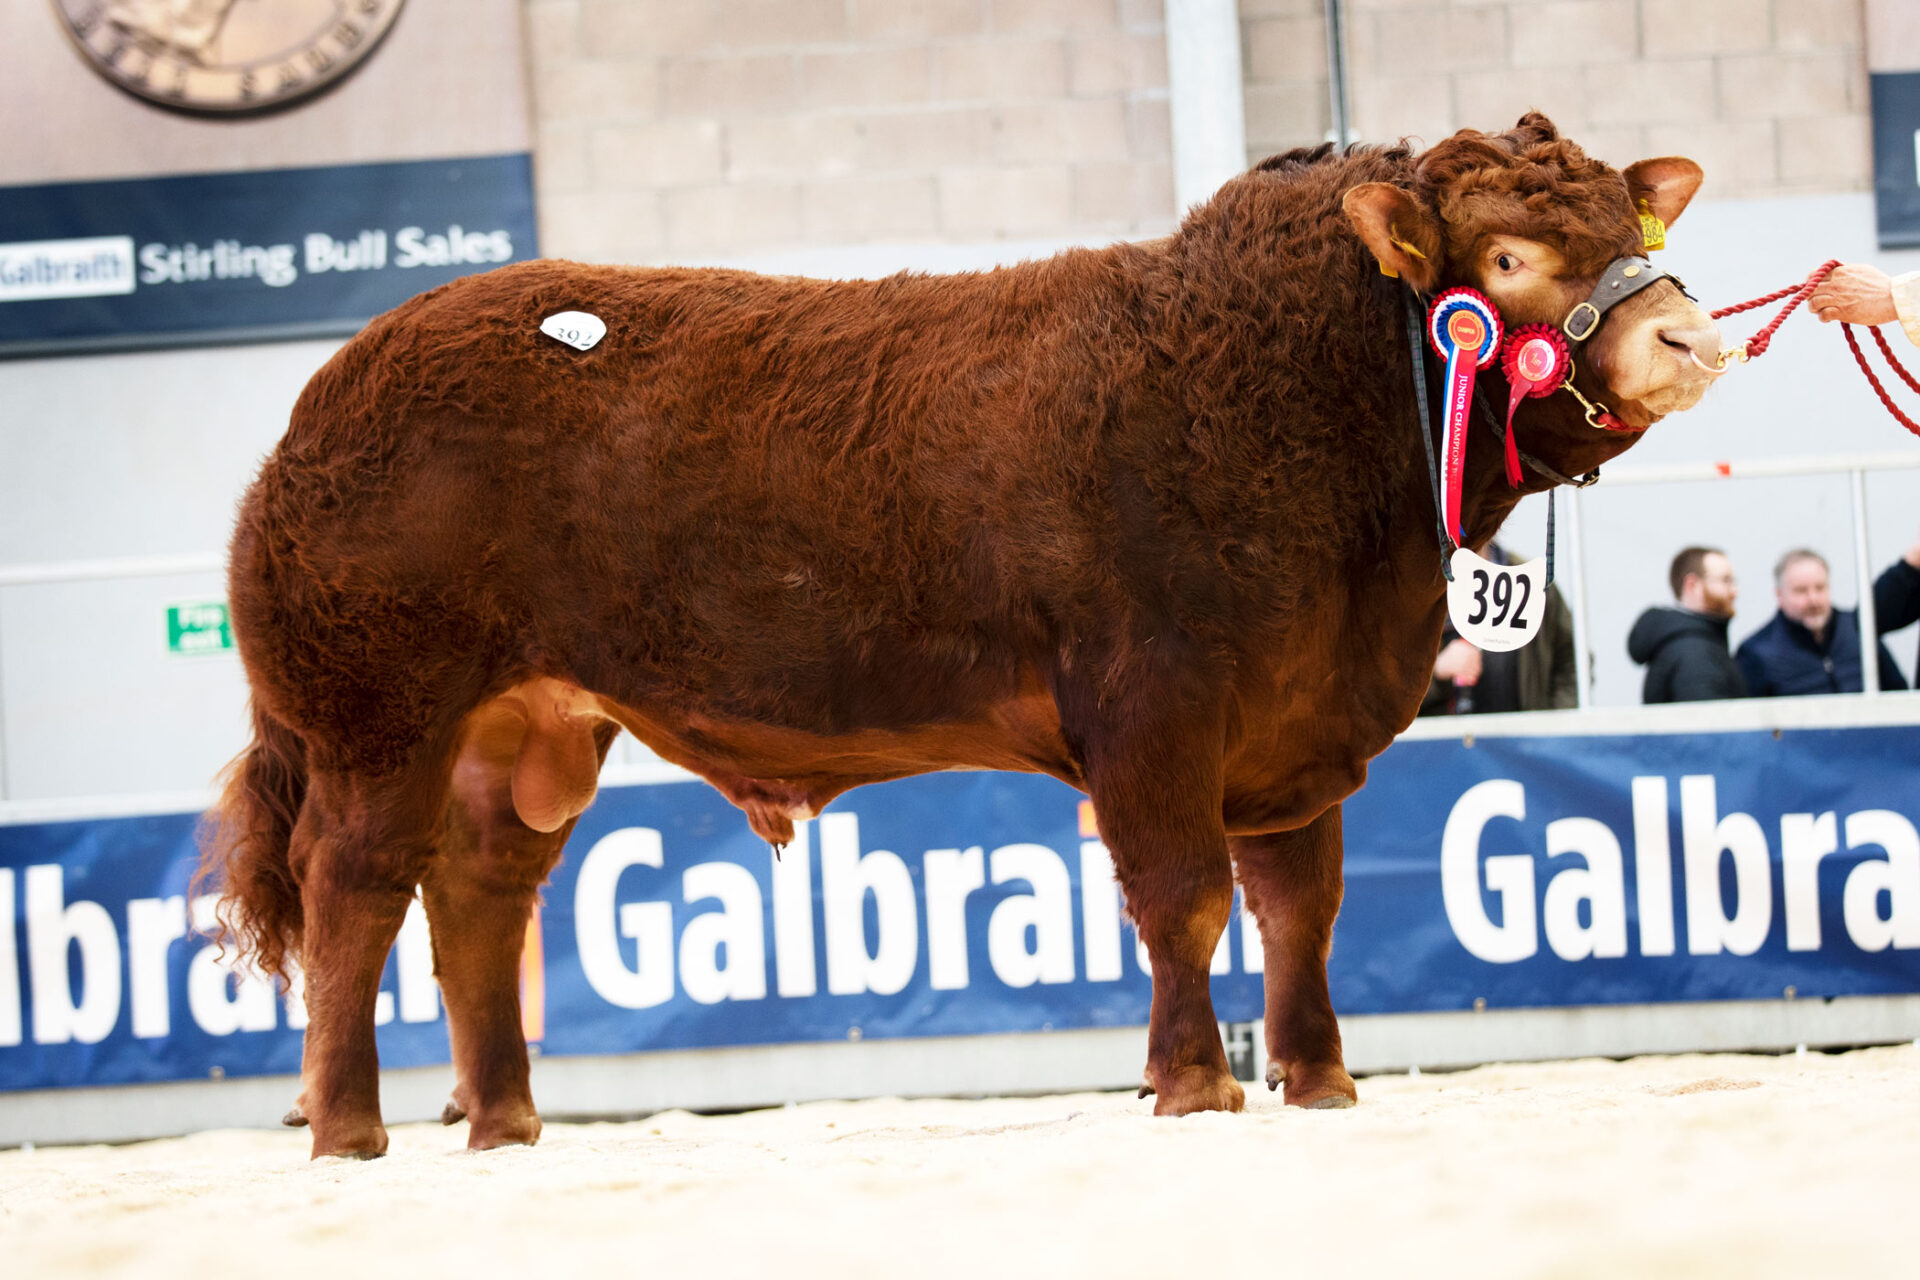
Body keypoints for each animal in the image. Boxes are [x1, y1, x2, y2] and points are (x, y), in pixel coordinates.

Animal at [200, 113, 1721, 1158]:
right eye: (1510, 258)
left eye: (1633, 235)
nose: (1692, 338)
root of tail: (328, 395)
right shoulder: (1154, 705)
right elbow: (1184, 899)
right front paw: (1196, 1083)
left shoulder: (1294, 730)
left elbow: (1303, 910)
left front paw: (1321, 1081)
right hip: (376, 717)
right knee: (355, 896)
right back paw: (349, 1129)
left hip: (524, 733)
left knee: (477, 901)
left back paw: (507, 1123)